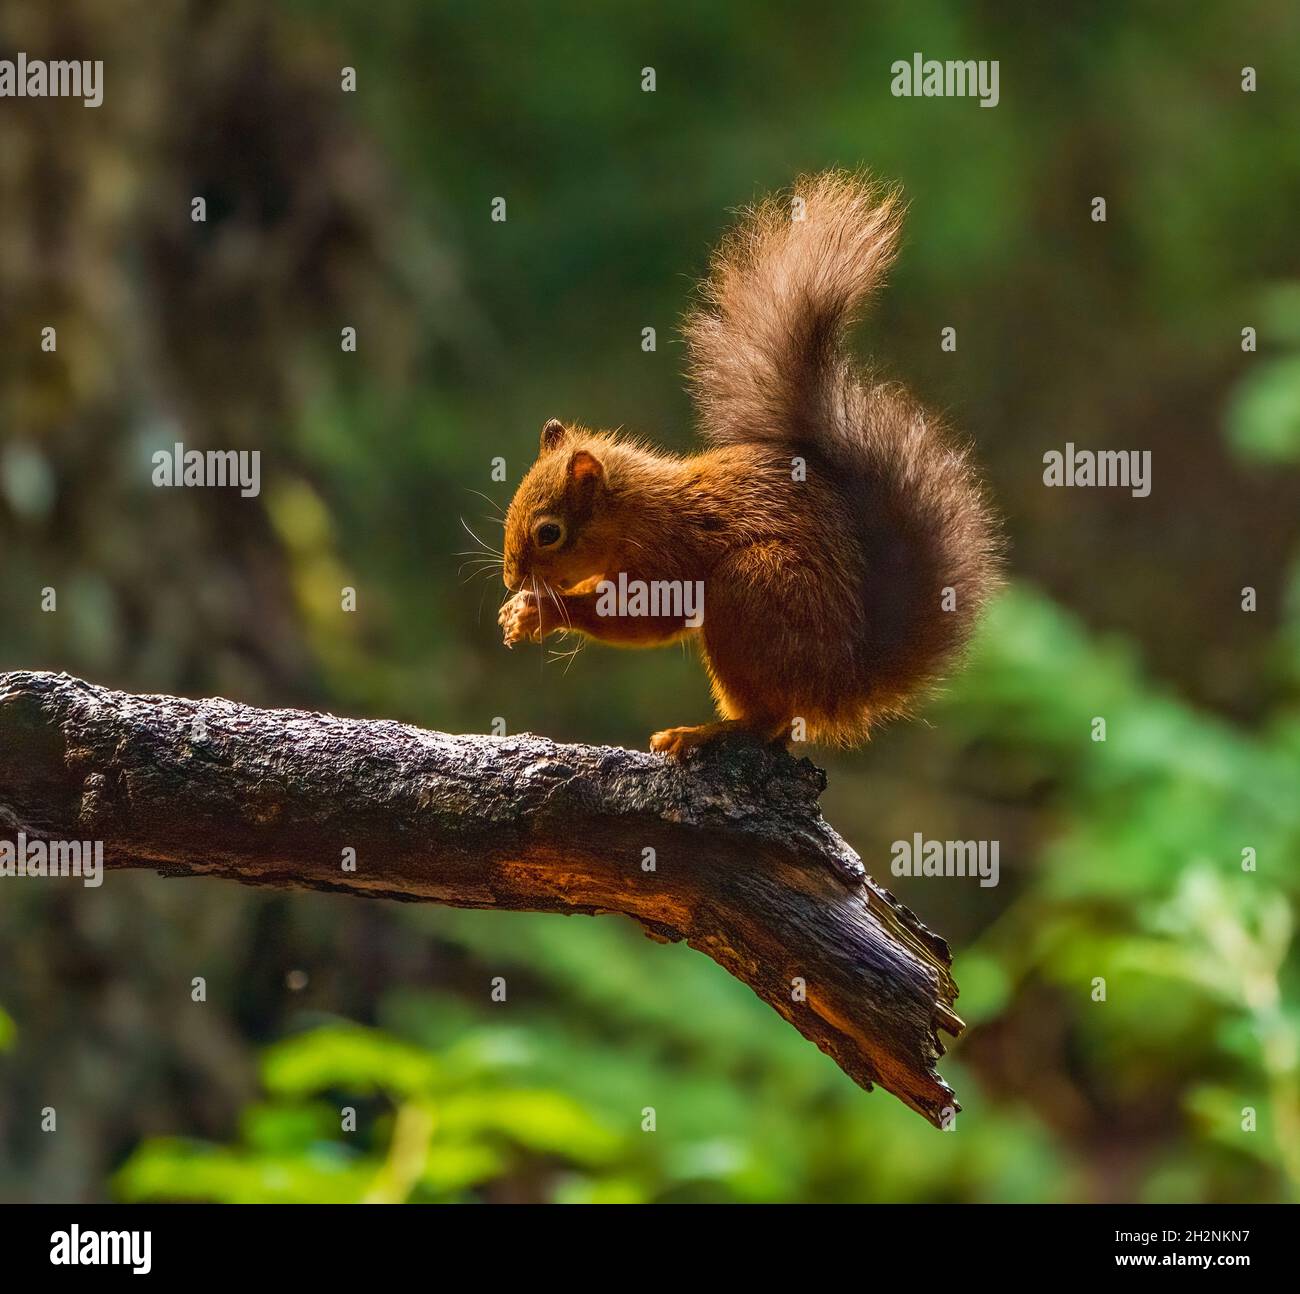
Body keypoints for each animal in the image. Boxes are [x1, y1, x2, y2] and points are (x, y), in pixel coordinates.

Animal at [498, 170, 1001, 759]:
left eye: (548, 532)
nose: (511, 578)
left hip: (752, 590)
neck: (631, 511)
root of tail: (839, 690)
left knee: (770, 719)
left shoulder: (666, 554)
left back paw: (705, 731)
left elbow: (644, 617)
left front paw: (543, 610)